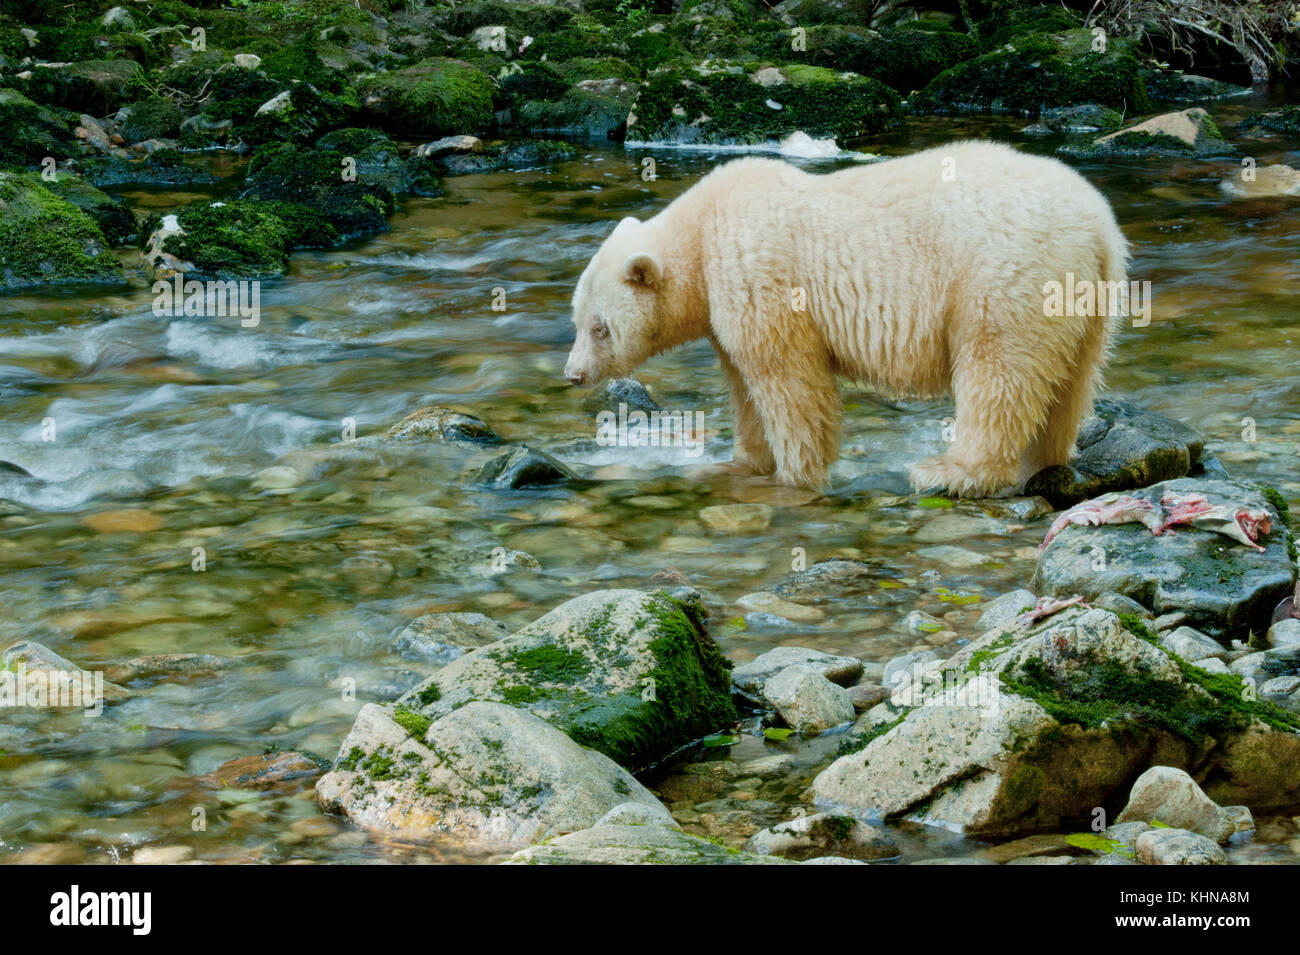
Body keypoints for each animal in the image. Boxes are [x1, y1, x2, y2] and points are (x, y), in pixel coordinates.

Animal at [563, 140, 1128, 497]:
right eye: (576, 318)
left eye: (599, 326)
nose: (573, 374)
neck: (701, 232)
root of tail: (1096, 222)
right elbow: (744, 385)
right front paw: (741, 463)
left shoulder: (759, 277)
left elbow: (788, 380)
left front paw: (795, 475)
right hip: (1087, 297)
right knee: (1071, 380)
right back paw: (1043, 462)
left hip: (1003, 274)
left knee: (997, 370)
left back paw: (951, 472)